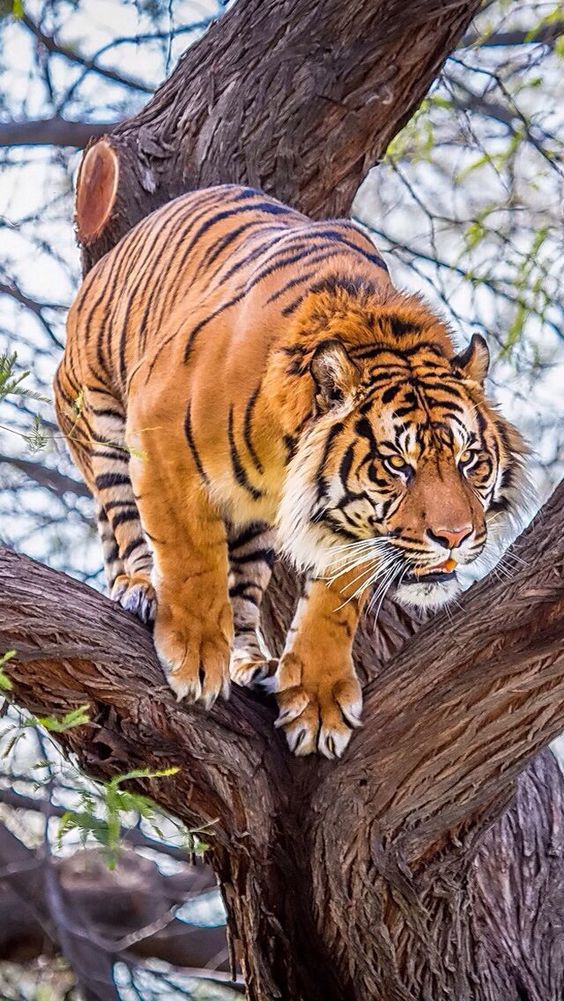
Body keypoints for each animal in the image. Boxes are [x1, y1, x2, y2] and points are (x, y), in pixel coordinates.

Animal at [54, 184, 528, 758]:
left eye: (469, 461)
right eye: (397, 464)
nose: (455, 537)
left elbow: (334, 603)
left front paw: (318, 701)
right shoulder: (159, 434)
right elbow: (190, 555)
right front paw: (194, 653)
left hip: (255, 524)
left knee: (242, 593)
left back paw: (252, 662)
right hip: (98, 417)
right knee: (126, 526)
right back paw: (143, 589)